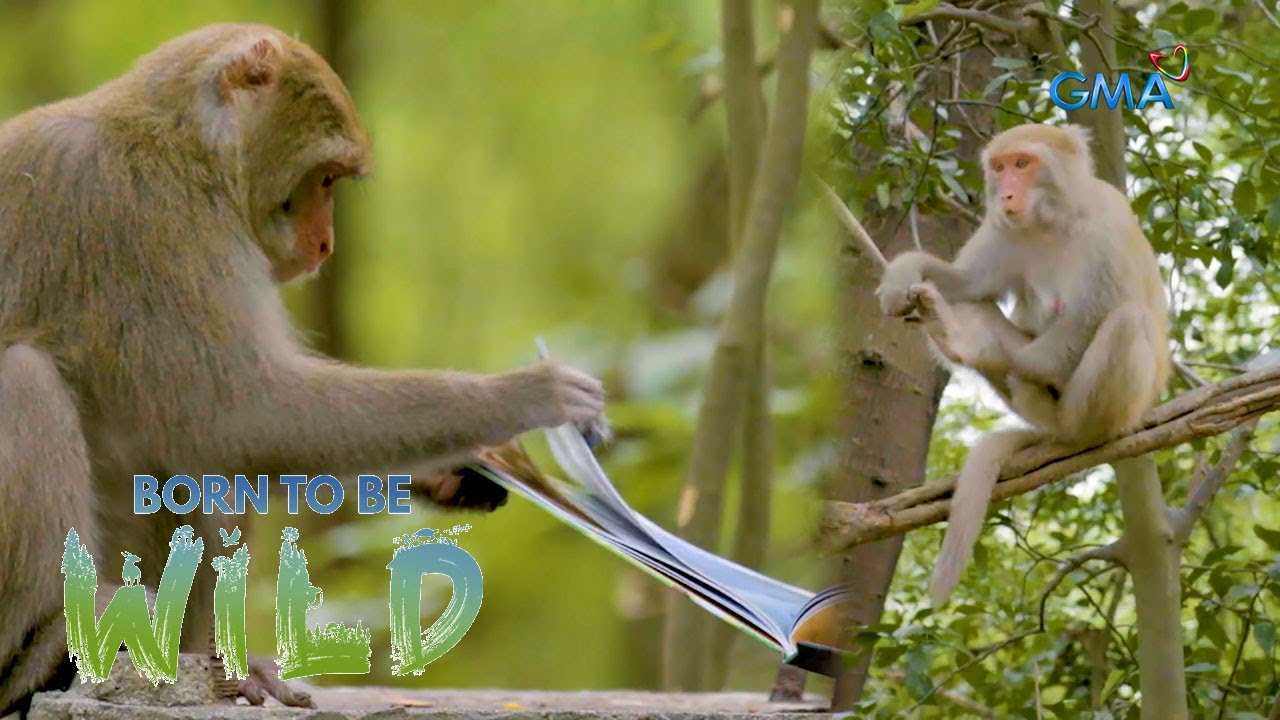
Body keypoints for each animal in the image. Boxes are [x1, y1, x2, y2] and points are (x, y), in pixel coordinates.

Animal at [0, 24, 609, 713]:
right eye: (325, 178)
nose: (325, 245)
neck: (185, 150)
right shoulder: (150, 216)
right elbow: (241, 416)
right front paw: (527, 396)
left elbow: (232, 436)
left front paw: (455, 470)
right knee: (25, 377)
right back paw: (62, 634)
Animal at [875, 123, 1170, 605]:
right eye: (999, 167)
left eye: (1022, 163)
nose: (1008, 193)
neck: (1051, 221)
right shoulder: (1002, 230)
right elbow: (967, 285)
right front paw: (904, 272)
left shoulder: (1107, 224)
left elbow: (1094, 315)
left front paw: (991, 351)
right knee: (977, 305)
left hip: (1107, 409)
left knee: (1126, 322)